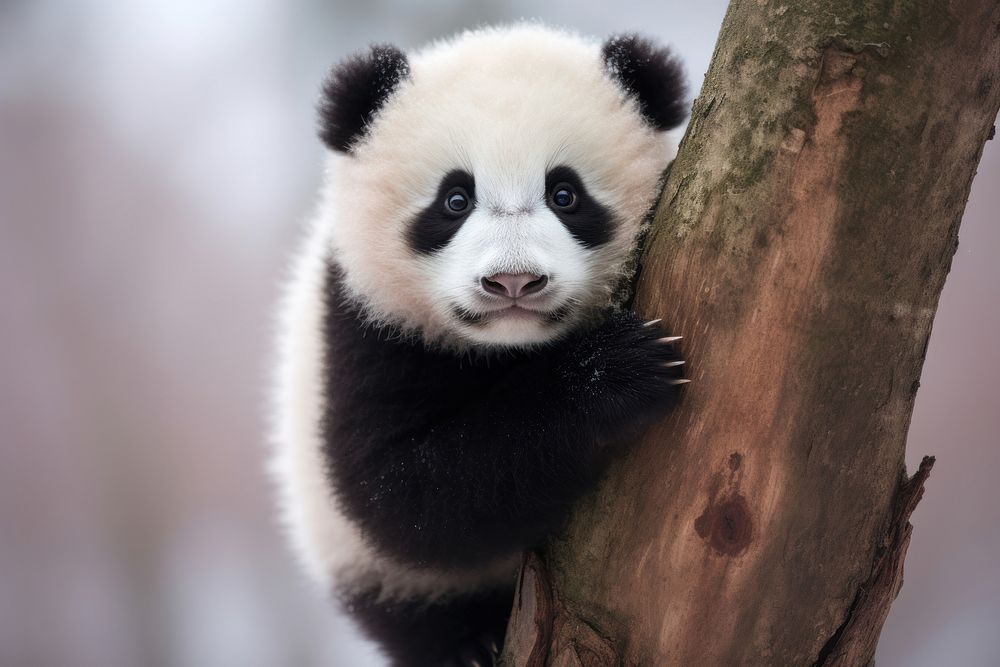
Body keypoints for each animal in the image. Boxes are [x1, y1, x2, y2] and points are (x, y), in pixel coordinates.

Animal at [270, 23, 688, 667]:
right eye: (455, 200)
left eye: (565, 194)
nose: (513, 282)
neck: (512, 347)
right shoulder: (362, 327)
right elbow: (401, 493)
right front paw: (614, 374)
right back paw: (468, 643)